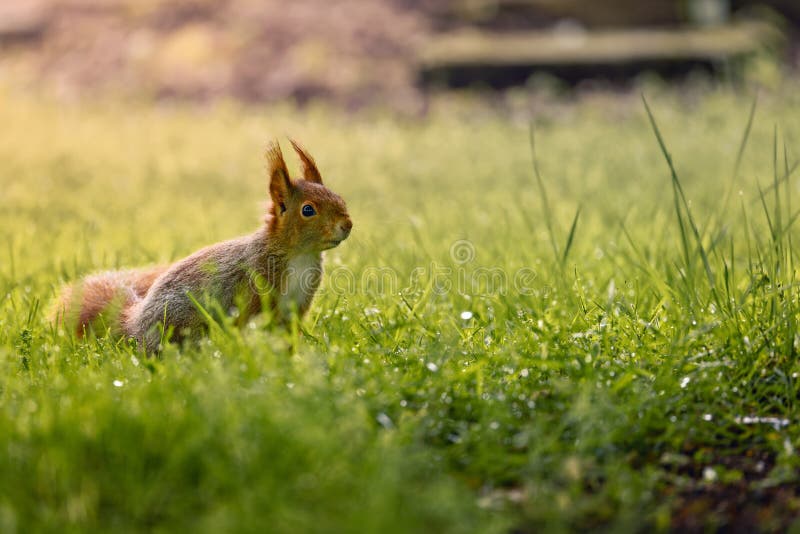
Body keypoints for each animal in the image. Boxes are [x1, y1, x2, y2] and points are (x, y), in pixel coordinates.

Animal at [52, 139, 352, 352]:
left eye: (339, 198)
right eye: (308, 210)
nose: (347, 225)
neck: (299, 255)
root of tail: (134, 324)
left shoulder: (296, 306)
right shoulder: (252, 290)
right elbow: (246, 326)